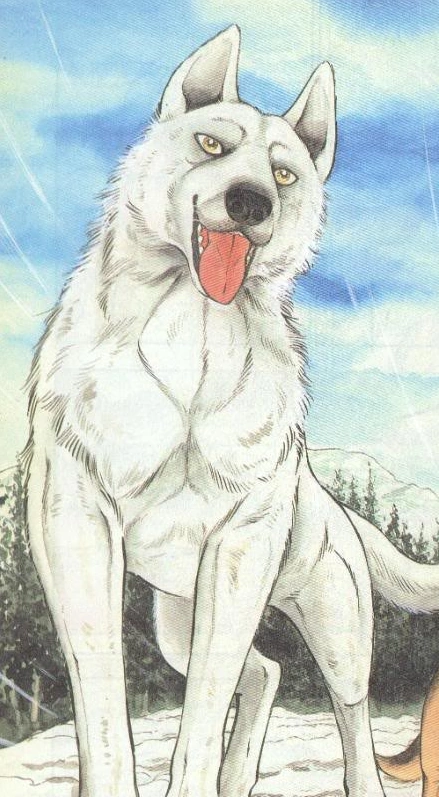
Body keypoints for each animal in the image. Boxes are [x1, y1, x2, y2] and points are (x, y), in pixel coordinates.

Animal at [24, 25, 439, 797]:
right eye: (211, 144)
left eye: (284, 175)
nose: (251, 202)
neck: (187, 338)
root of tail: (336, 504)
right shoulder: (77, 527)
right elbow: (102, 700)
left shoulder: (239, 550)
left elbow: (202, 715)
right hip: (174, 623)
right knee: (266, 671)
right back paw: (238, 772)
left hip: (335, 624)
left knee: (348, 712)